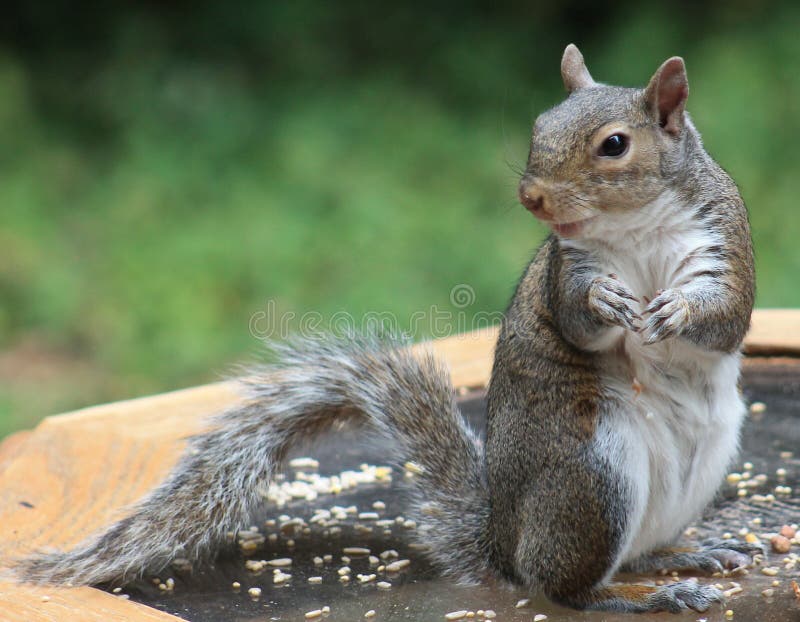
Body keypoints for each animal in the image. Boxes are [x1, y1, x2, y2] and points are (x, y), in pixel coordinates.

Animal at [20, 44, 758, 614]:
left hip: (691, 466)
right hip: (593, 479)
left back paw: (686, 560)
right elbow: (576, 319)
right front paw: (607, 302)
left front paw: (678, 312)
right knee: (565, 588)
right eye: (539, 125)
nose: (531, 197)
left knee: (627, 556)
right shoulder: (565, 268)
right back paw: (644, 595)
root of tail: (504, 542)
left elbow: (727, 317)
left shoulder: (725, 240)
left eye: (614, 145)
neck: (635, 230)